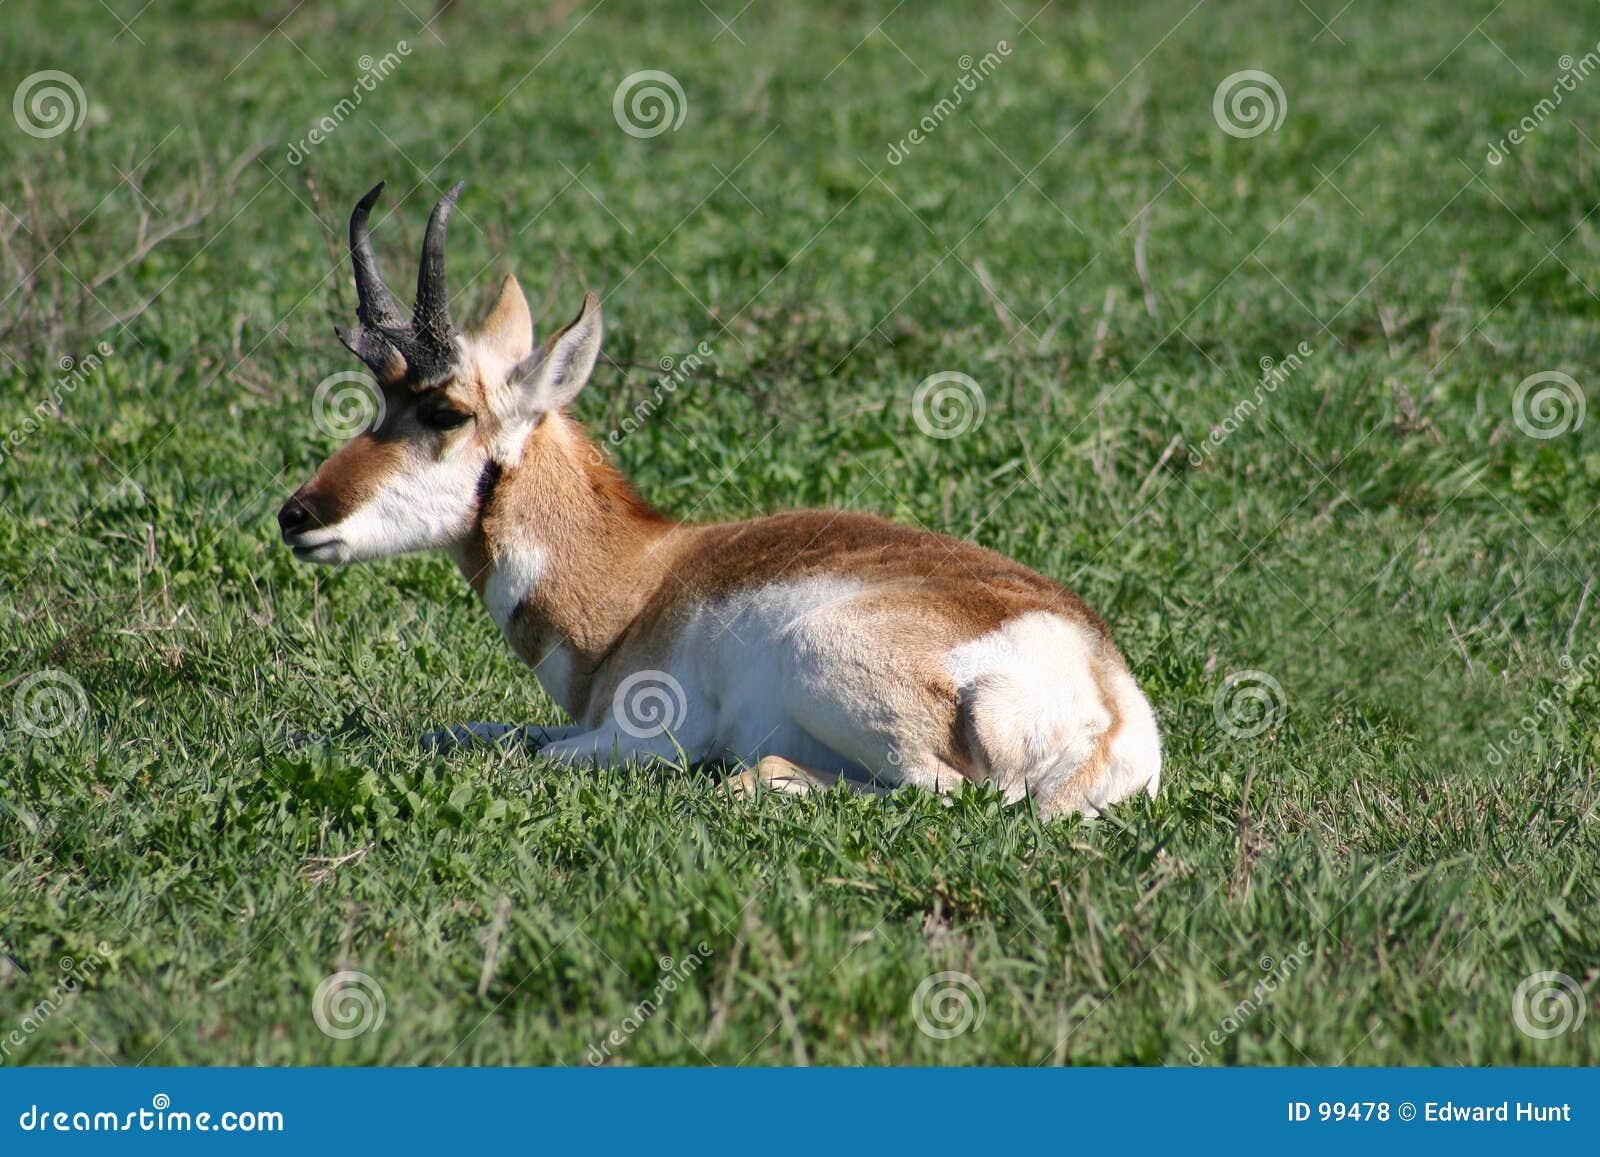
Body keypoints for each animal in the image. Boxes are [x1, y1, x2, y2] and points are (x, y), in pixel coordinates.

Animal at [278, 183, 1162, 818]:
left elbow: (520, 750)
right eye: (378, 399)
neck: (644, 575)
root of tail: (1103, 693)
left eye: (445, 412)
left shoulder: (632, 736)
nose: (298, 515)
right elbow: (462, 729)